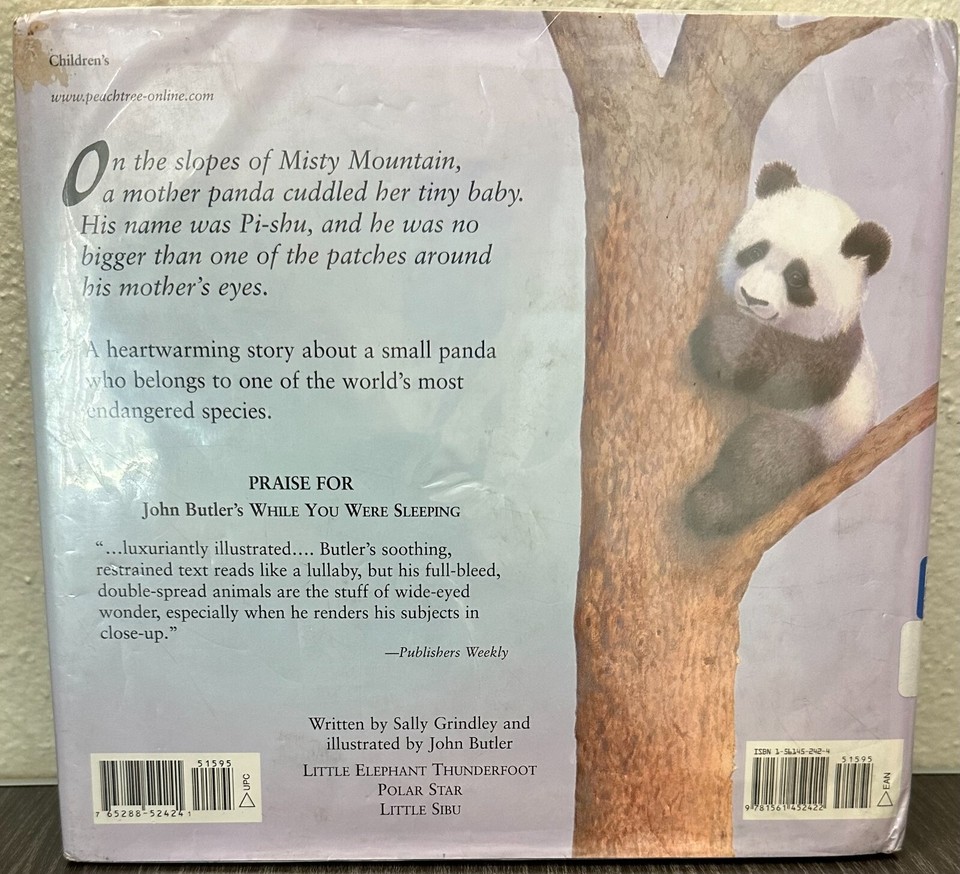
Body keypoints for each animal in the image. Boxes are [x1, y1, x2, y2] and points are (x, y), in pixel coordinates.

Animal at [684, 161, 891, 537]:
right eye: (754, 251)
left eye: (796, 278)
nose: (753, 298)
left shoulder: (837, 344)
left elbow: (797, 373)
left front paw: (717, 344)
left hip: (824, 439)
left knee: (769, 453)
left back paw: (710, 507)